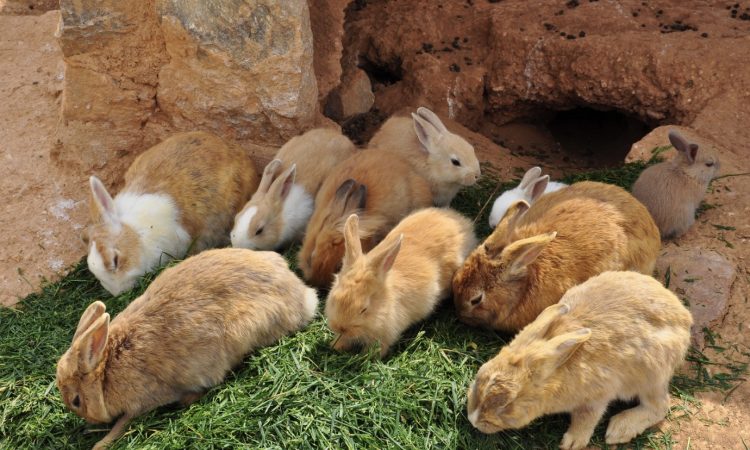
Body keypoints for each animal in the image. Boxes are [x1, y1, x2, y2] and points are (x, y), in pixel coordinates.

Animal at [56, 248, 318, 450]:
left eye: (77, 401)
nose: (89, 420)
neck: (107, 368)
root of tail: (304, 296)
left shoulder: (144, 401)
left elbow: (123, 422)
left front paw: (100, 443)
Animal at [325, 208, 477, 358]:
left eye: (364, 309)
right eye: (334, 299)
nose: (340, 327)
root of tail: (463, 222)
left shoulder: (384, 336)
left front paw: (366, 357)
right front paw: (336, 346)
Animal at [467, 270, 692, 450]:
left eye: (508, 404)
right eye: (479, 376)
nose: (473, 420)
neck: (556, 374)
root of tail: (684, 319)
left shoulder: (597, 397)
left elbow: (586, 418)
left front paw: (572, 442)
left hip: (650, 374)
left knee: (659, 406)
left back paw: (619, 429)